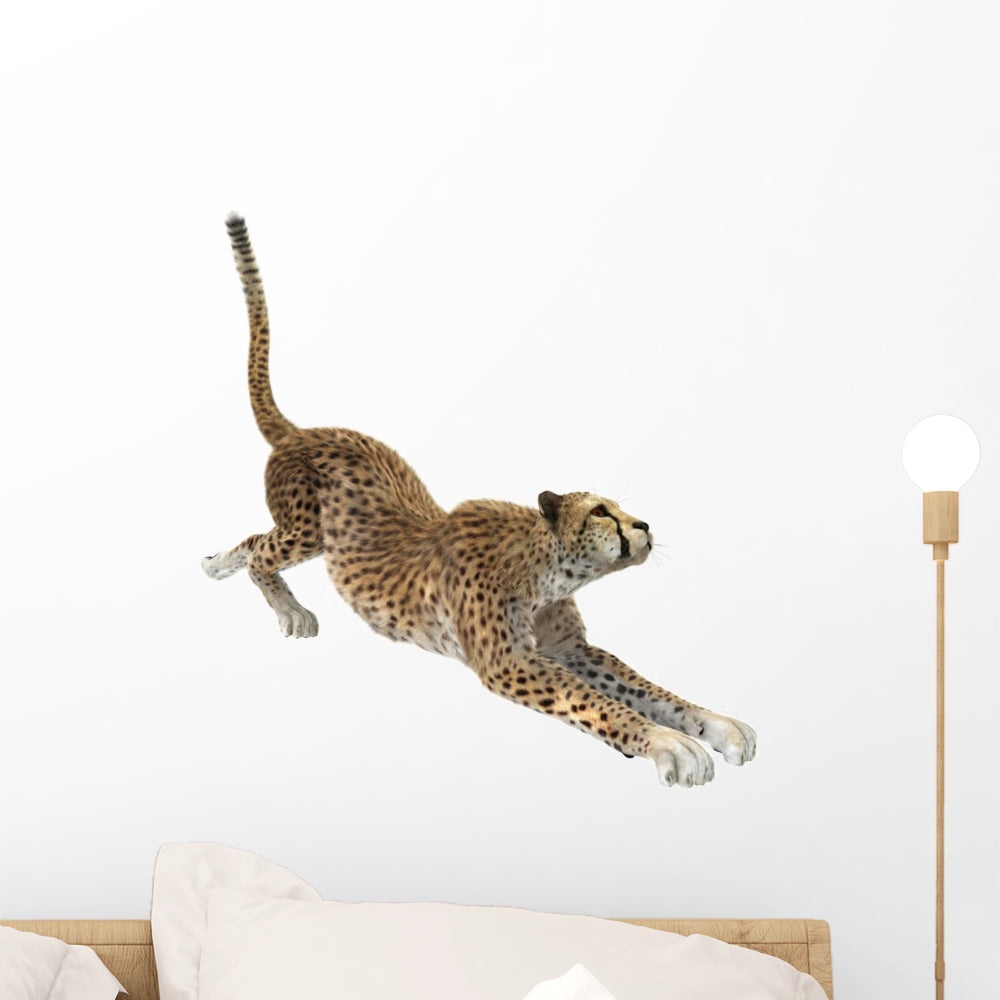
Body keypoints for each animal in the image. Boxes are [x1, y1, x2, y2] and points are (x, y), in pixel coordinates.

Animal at [202, 213, 756, 788]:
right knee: (262, 549)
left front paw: (717, 725)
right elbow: (598, 704)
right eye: (602, 511)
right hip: (310, 529)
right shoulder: (511, 662)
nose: (644, 525)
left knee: (256, 541)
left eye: (621, 508)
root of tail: (305, 431)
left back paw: (219, 565)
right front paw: (669, 745)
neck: (549, 571)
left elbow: (649, 690)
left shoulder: (568, 648)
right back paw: (280, 604)